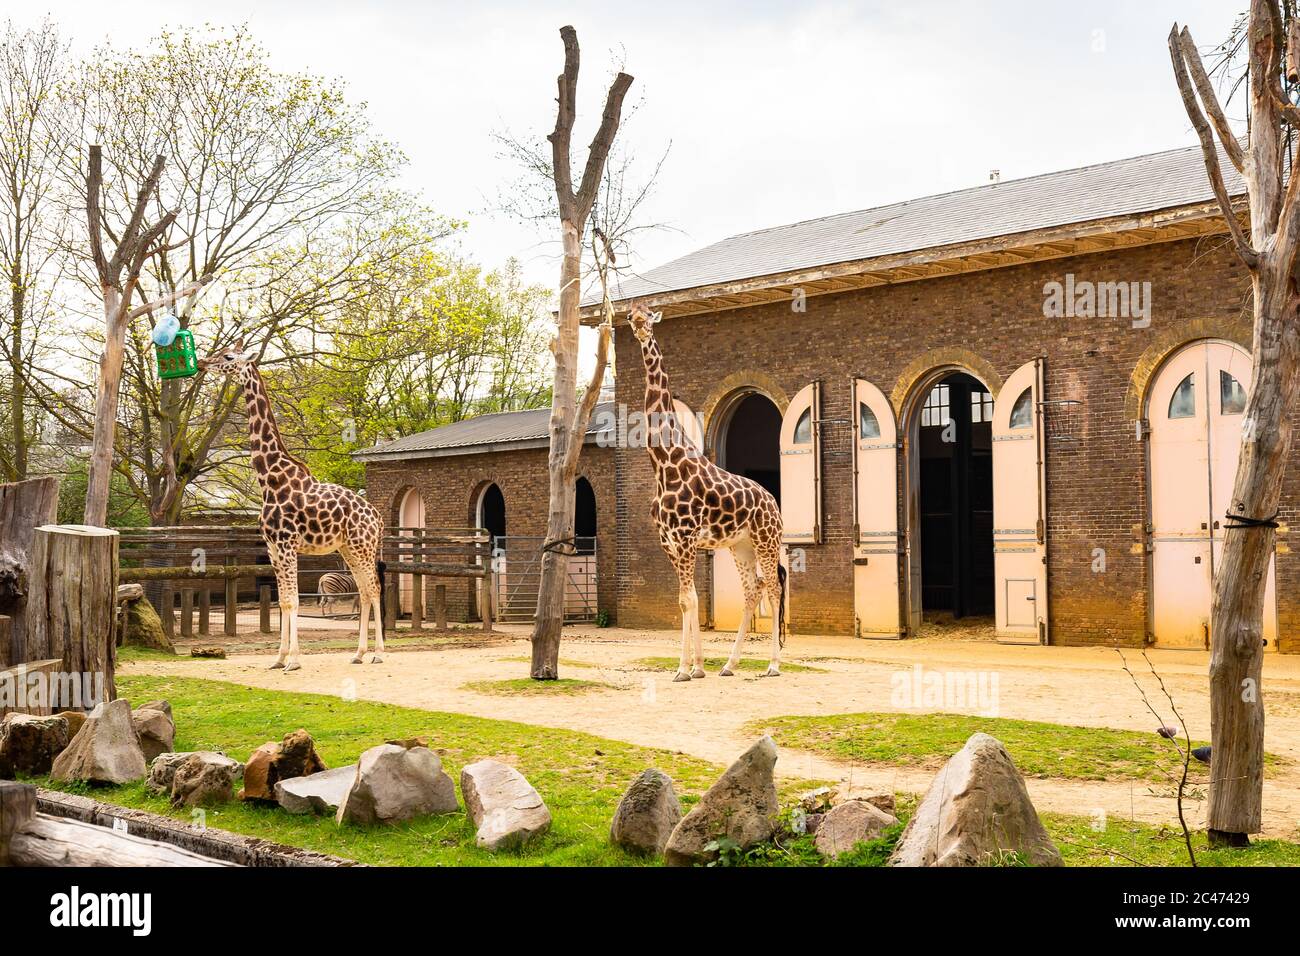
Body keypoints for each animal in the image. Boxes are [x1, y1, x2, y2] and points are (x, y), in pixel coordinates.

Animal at [198, 343, 386, 671]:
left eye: (228, 357)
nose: (201, 362)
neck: (269, 478)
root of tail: (377, 516)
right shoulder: (272, 547)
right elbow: (283, 601)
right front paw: (279, 658)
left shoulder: (287, 544)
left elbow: (294, 600)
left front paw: (294, 660)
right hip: (348, 548)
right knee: (363, 591)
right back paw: (359, 653)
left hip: (362, 547)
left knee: (373, 588)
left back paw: (378, 653)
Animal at [628, 305, 787, 681]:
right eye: (629, 315)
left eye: (648, 316)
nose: (639, 328)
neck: (665, 464)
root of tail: (773, 501)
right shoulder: (669, 542)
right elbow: (688, 599)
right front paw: (697, 667)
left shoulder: (686, 539)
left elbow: (689, 599)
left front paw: (684, 669)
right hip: (739, 545)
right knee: (752, 590)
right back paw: (729, 664)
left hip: (766, 540)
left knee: (773, 588)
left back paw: (773, 665)